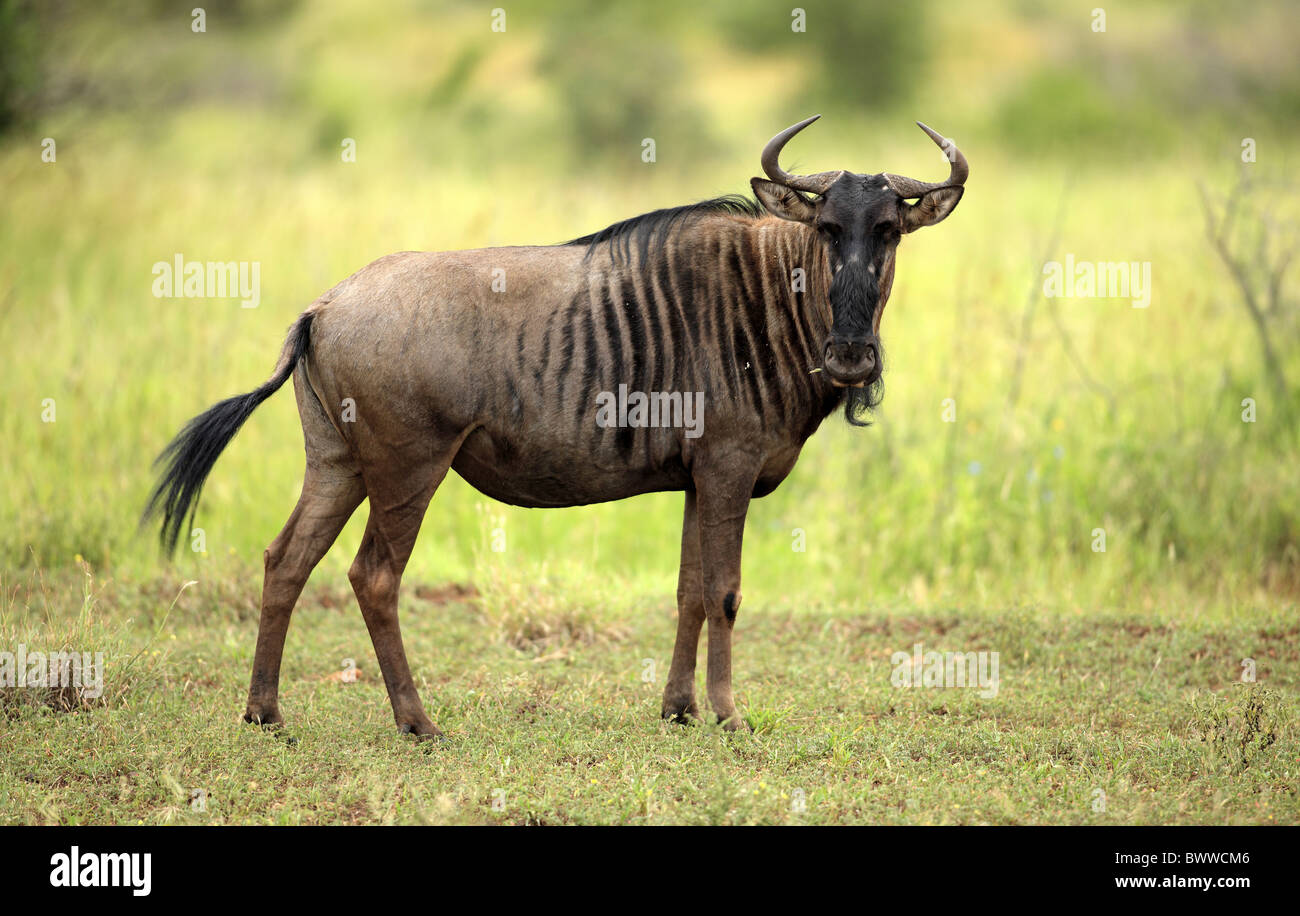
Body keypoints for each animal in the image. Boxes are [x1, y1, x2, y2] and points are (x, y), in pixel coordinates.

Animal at [146, 117, 968, 737]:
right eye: (827, 227)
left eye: (889, 230)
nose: (852, 357)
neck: (768, 297)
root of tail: (324, 304)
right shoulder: (729, 470)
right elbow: (727, 592)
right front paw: (730, 716)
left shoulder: (698, 480)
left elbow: (688, 592)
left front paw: (678, 710)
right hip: (409, 469)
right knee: (373, 576)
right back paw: (418, 723)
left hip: (336, 464)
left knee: (285, 561)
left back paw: (265, 714)